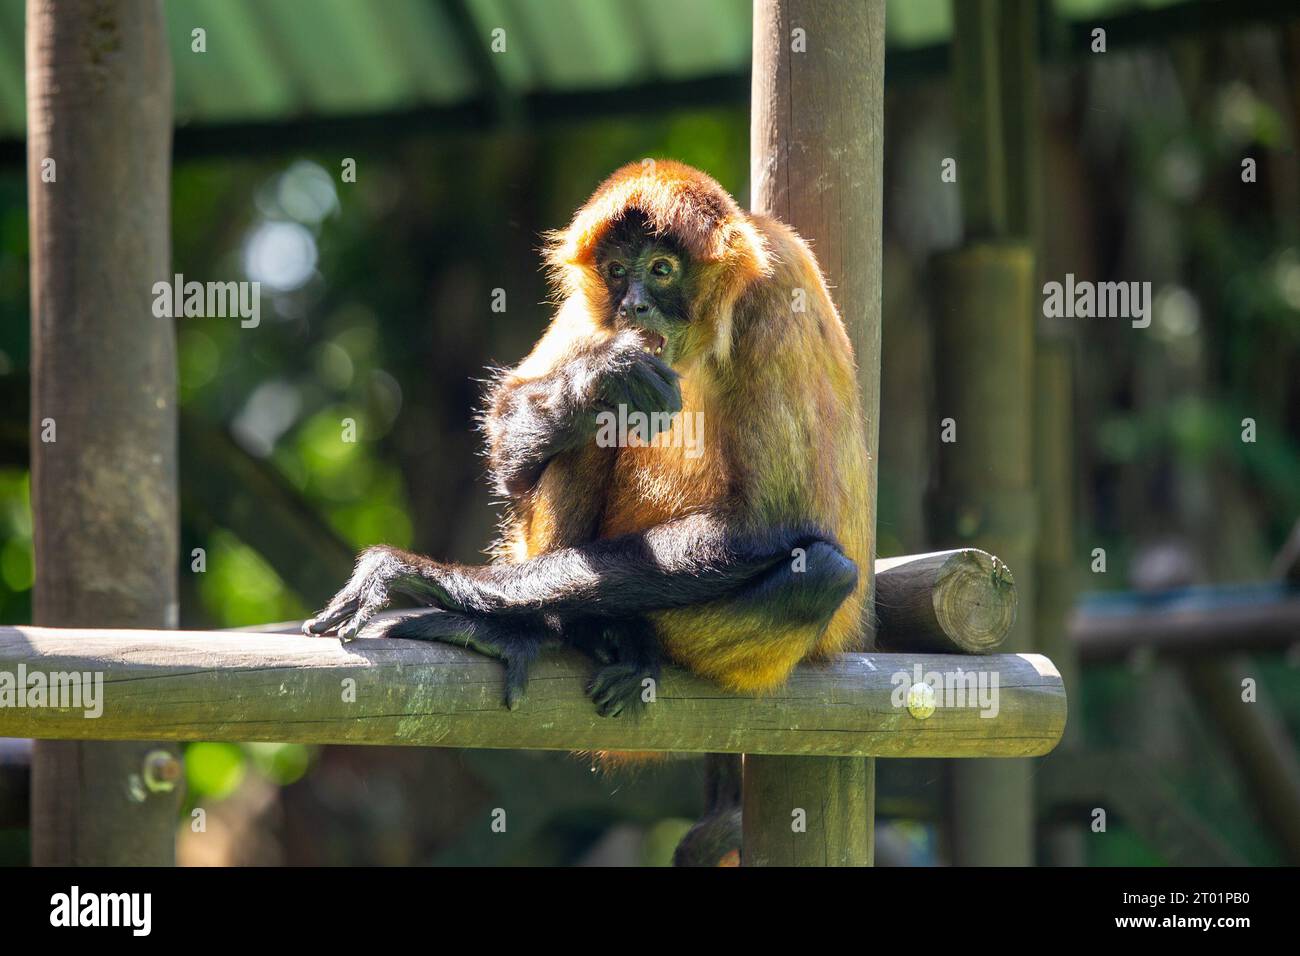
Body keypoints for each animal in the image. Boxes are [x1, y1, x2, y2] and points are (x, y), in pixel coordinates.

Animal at [304, 159, 873, 720]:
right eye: (617, 272)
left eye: (661, 269)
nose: (634, 306)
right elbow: (510, 430)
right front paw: (600, 381)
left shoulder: (776, 286)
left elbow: (769, 520)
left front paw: (422, 577)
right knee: (588, 433)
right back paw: (560, 628)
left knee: (822, 572)